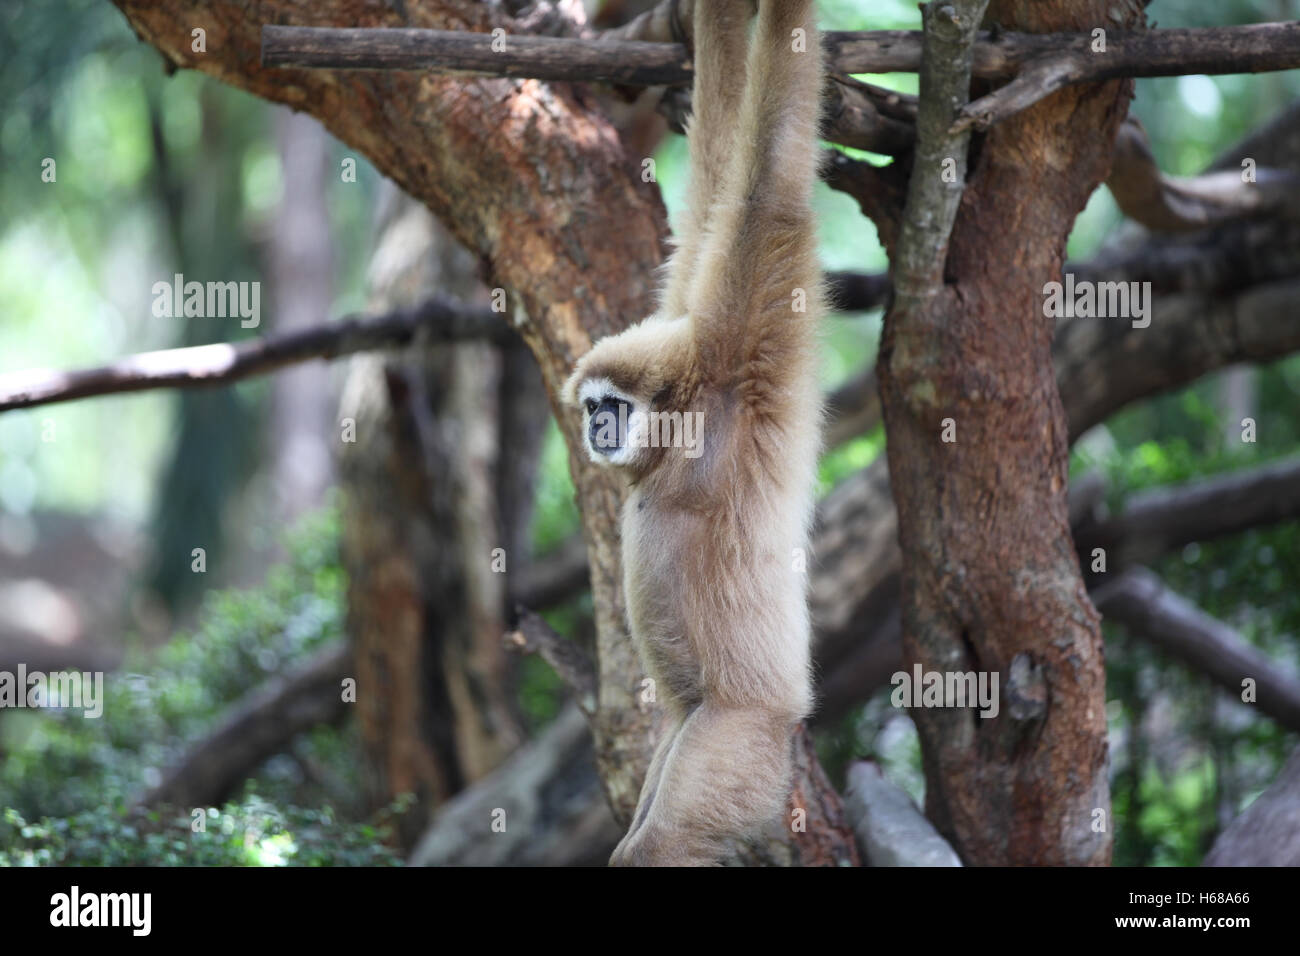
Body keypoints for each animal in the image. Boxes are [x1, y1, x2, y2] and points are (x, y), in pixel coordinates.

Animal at [562, 0, 825, 866]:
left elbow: (765, 192)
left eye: (610, 406)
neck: (677, 445)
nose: (595, 425)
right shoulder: (693, 325)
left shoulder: (739, 354)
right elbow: (715, 196)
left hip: (739, 741)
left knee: (667, 839)